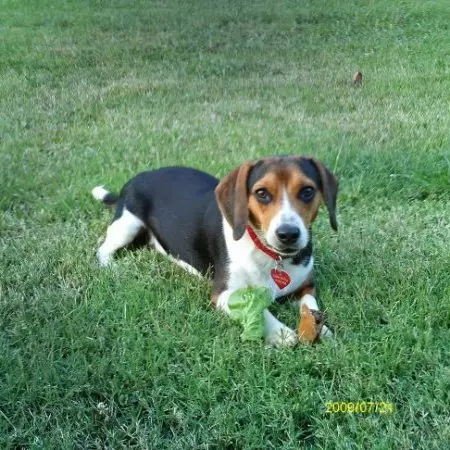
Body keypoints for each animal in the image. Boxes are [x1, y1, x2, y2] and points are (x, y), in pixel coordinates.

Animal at [92, 156, 338, 346]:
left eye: (307, 191)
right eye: (262, 193)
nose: (288, 234)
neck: (270, 255)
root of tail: (136, 178)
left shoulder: (306, 286)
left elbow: (310, 305)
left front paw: (323, 329)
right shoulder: (223, 293)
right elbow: (254, 308)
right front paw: (280, 332)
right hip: (127, 225)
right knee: (102, 249)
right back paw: (111, 266)